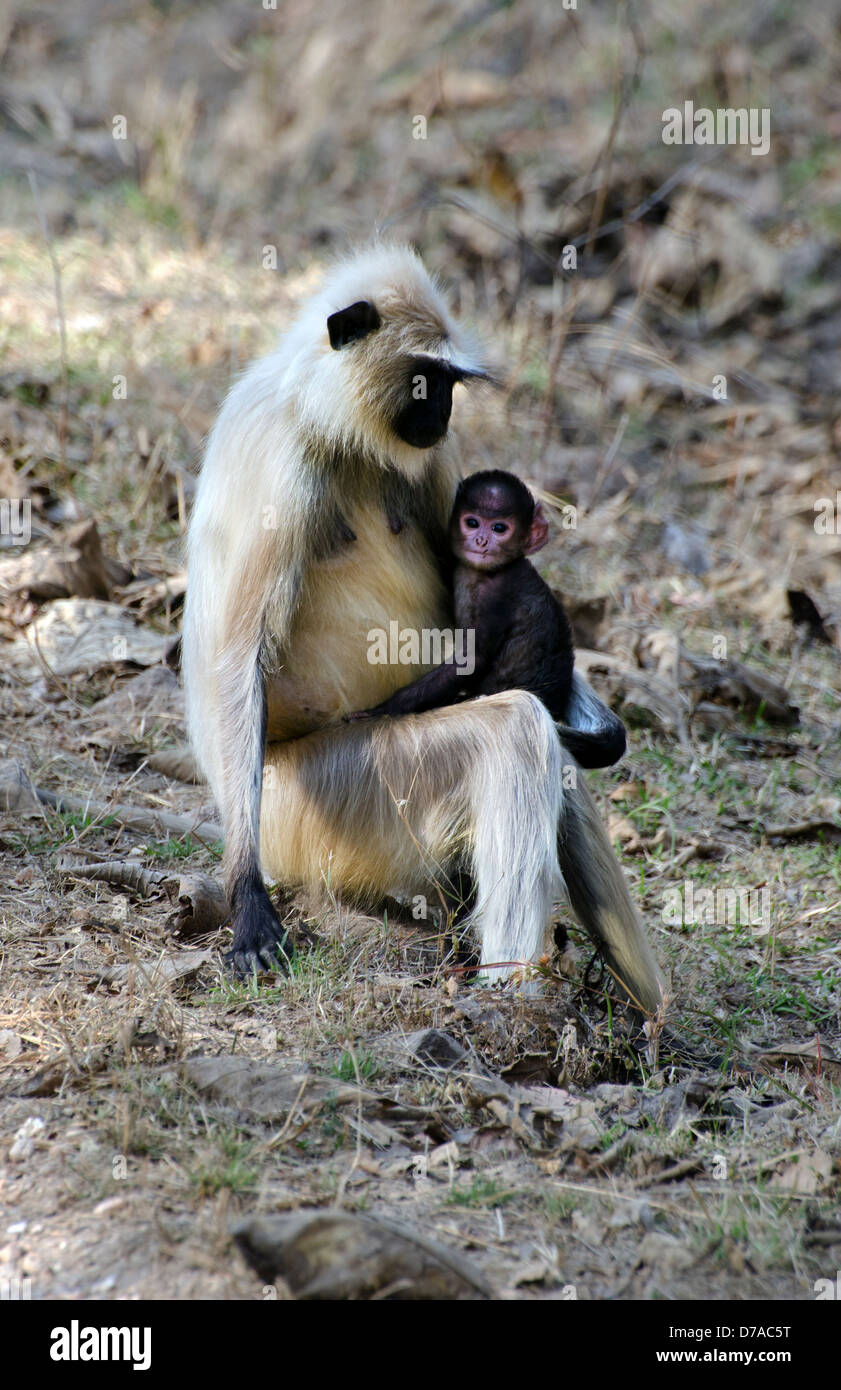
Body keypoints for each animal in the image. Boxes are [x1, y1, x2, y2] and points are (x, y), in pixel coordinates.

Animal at [345, 468, 627, 770]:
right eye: (472, 522)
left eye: (499, 528)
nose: (481, 541)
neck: (494, 570)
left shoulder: (495, 596)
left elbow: (473, 659)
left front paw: (383, 710)